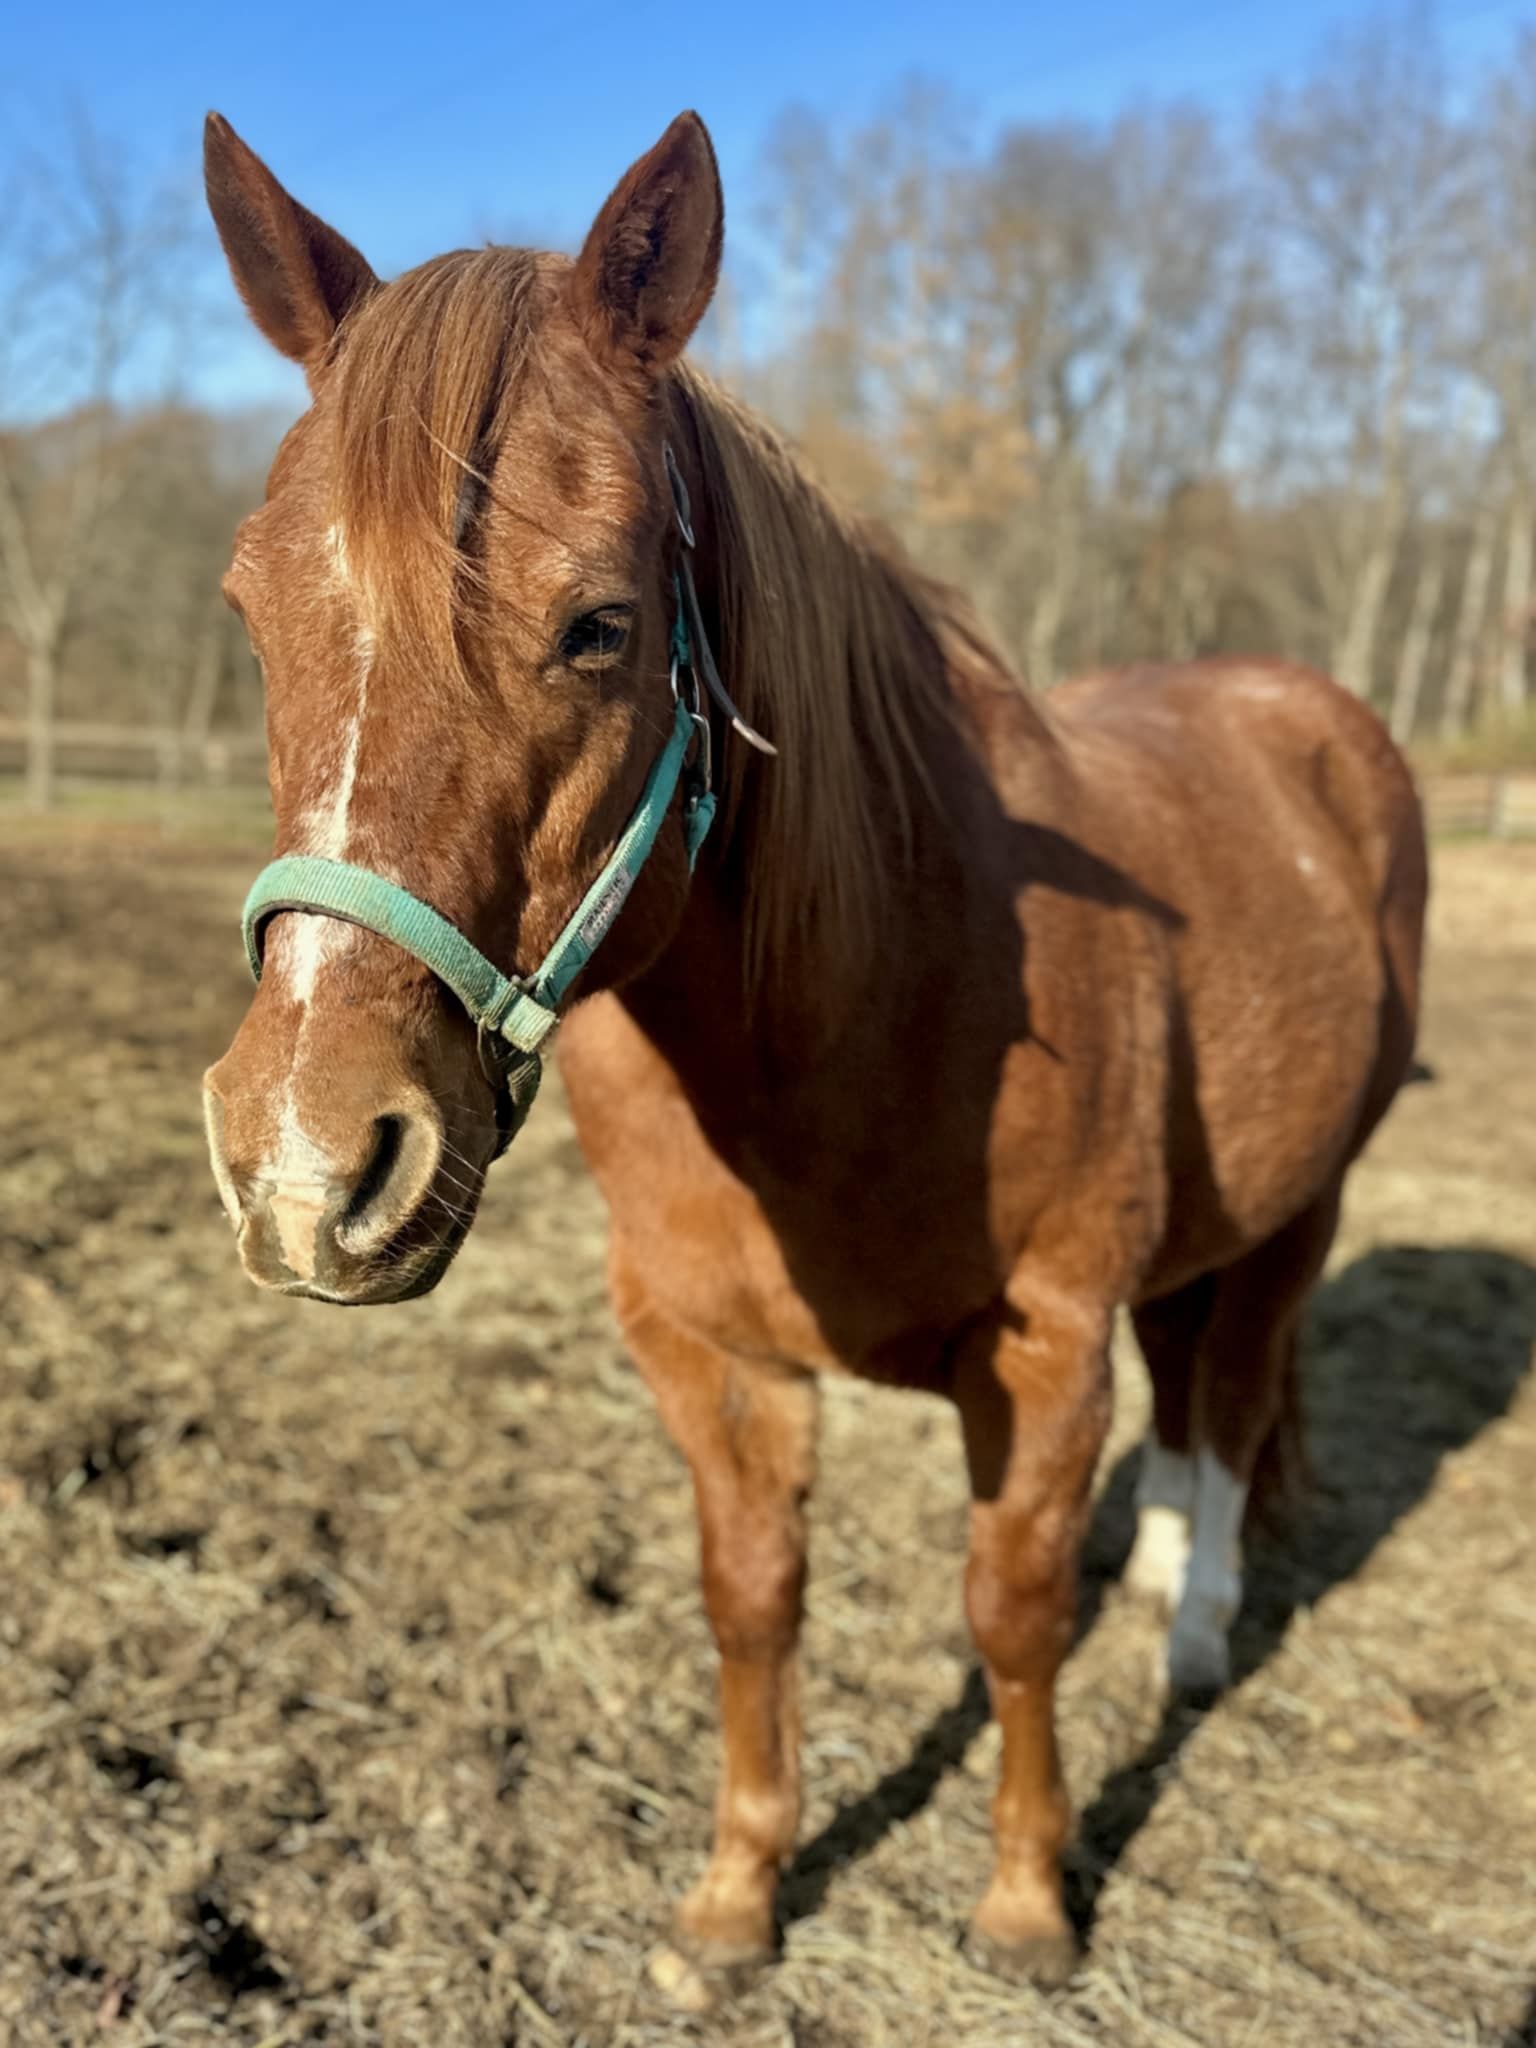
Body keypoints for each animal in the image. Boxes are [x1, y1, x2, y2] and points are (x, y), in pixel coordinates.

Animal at [200, 109, 1427, 1996]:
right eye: (252, 615)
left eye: (599, 624)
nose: (307, 1164)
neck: (863, 994)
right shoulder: (710, 1354)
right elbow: (752, 1599)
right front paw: (735, 1895)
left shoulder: (1044, 1344)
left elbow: (1012, 1612)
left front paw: (1025, 1898)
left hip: (1308, 1209)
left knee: (1230, 1396)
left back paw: (1199, 1630)